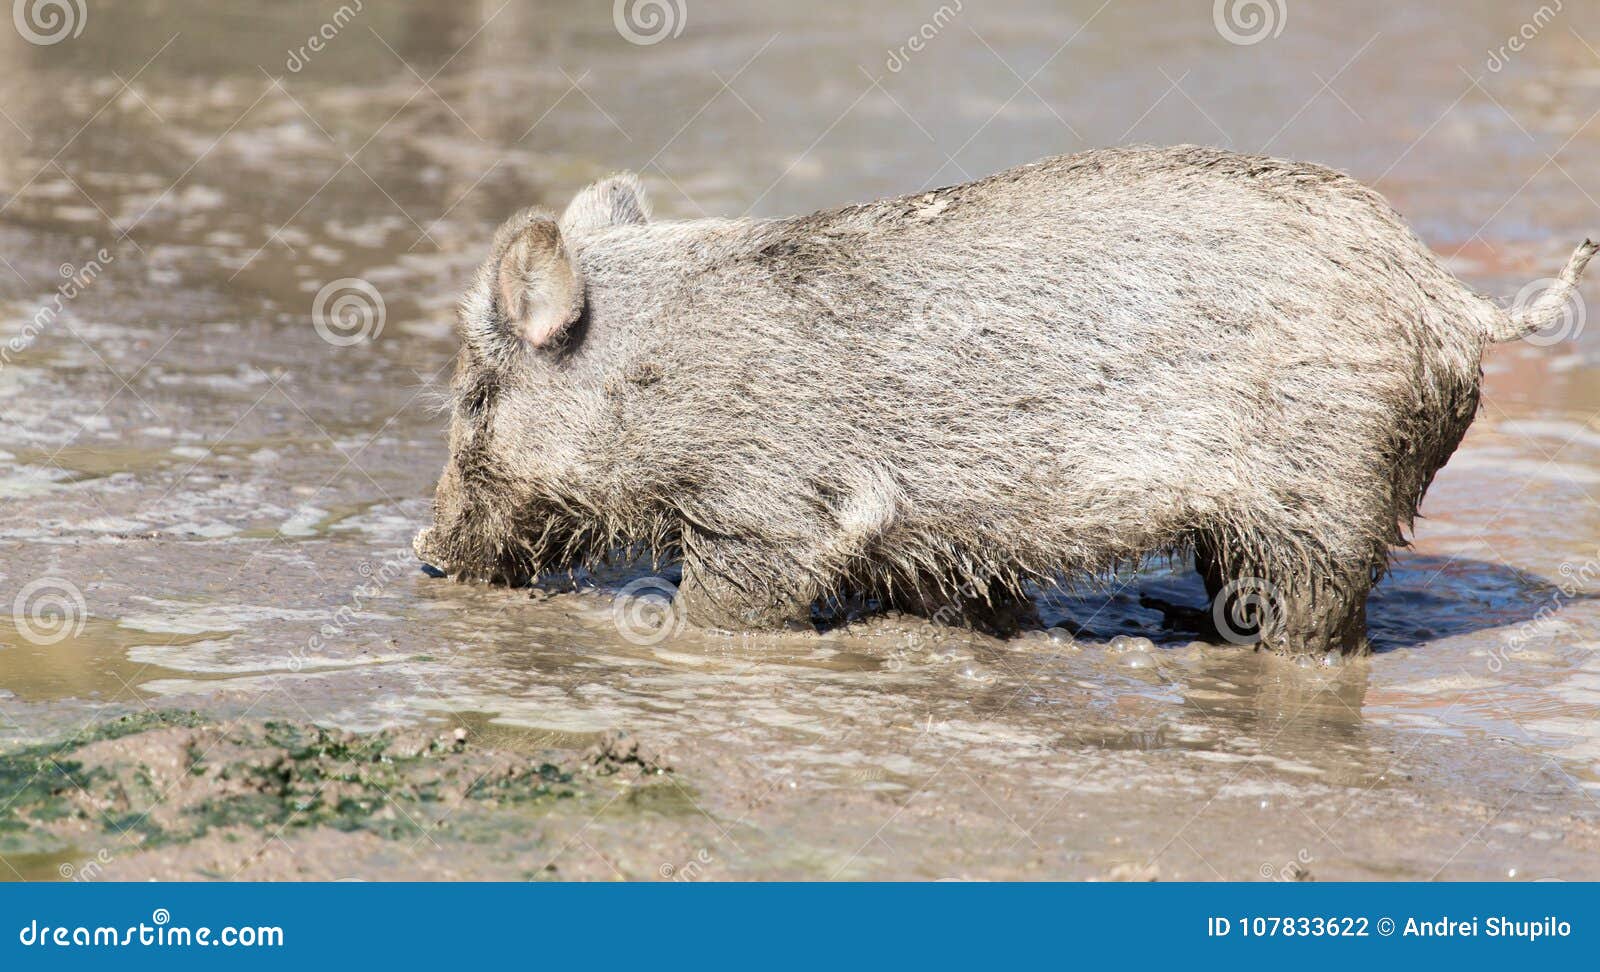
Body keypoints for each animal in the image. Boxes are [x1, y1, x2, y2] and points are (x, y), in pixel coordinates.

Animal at [414, 145, 1595, 655]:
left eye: (476, 395)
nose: (423, 554)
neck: (666, 374)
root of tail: (1454, 299)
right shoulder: (945, 543)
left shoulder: (776, 504)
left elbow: (733, 600)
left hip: (1325, 503)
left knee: (1319, 626)